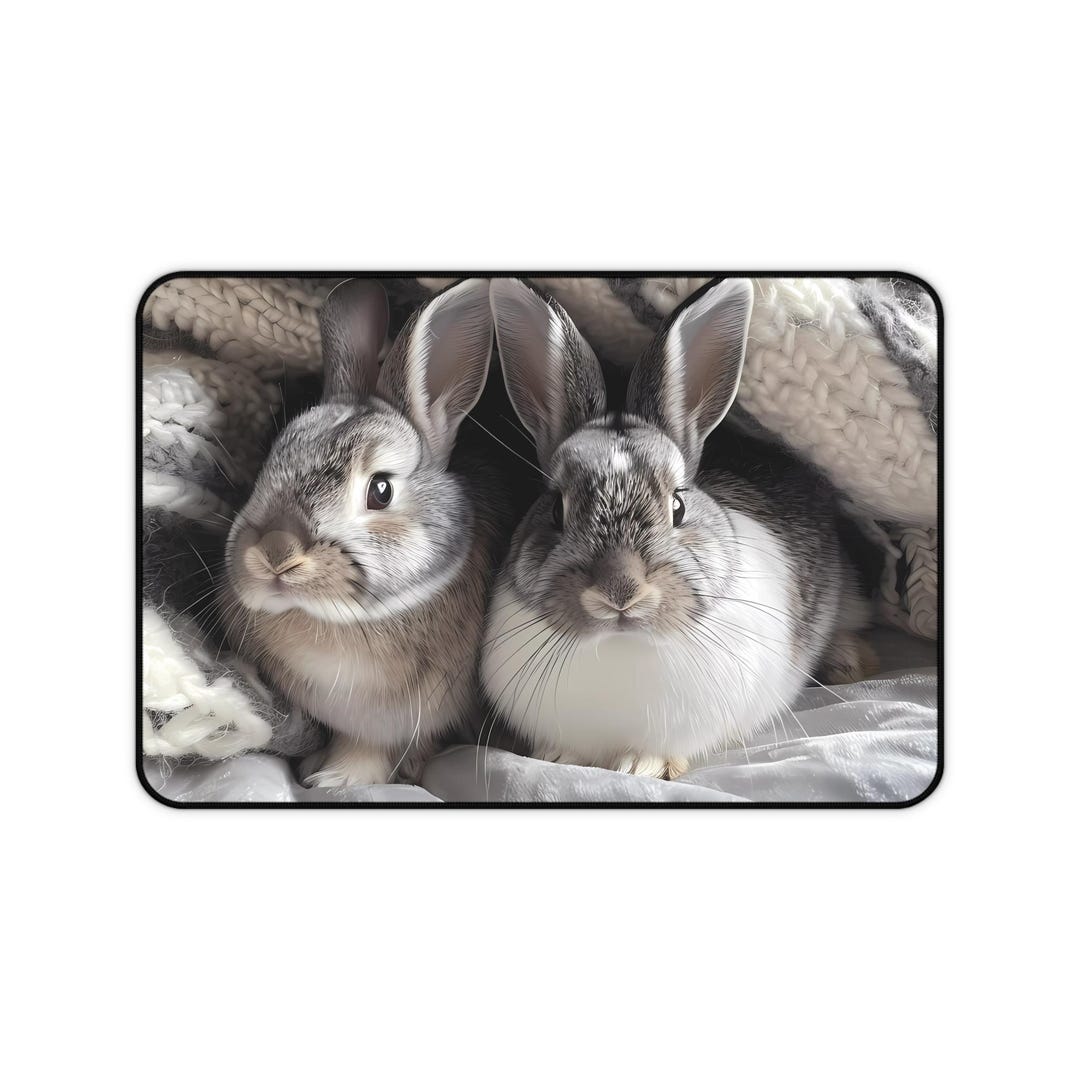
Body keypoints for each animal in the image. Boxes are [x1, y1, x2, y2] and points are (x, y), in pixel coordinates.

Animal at [223, 278, 508, 787]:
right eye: (268, 462)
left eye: (380, 490)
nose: (276, 551)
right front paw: (324, 770)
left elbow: (372, 748)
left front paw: (339, 779)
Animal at [482, 276, 874, 781]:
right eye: (556, 510)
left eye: (678, 506)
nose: (620, 591)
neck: (622, 644)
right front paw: (557, 757)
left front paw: (640, 767)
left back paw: (849, 663)